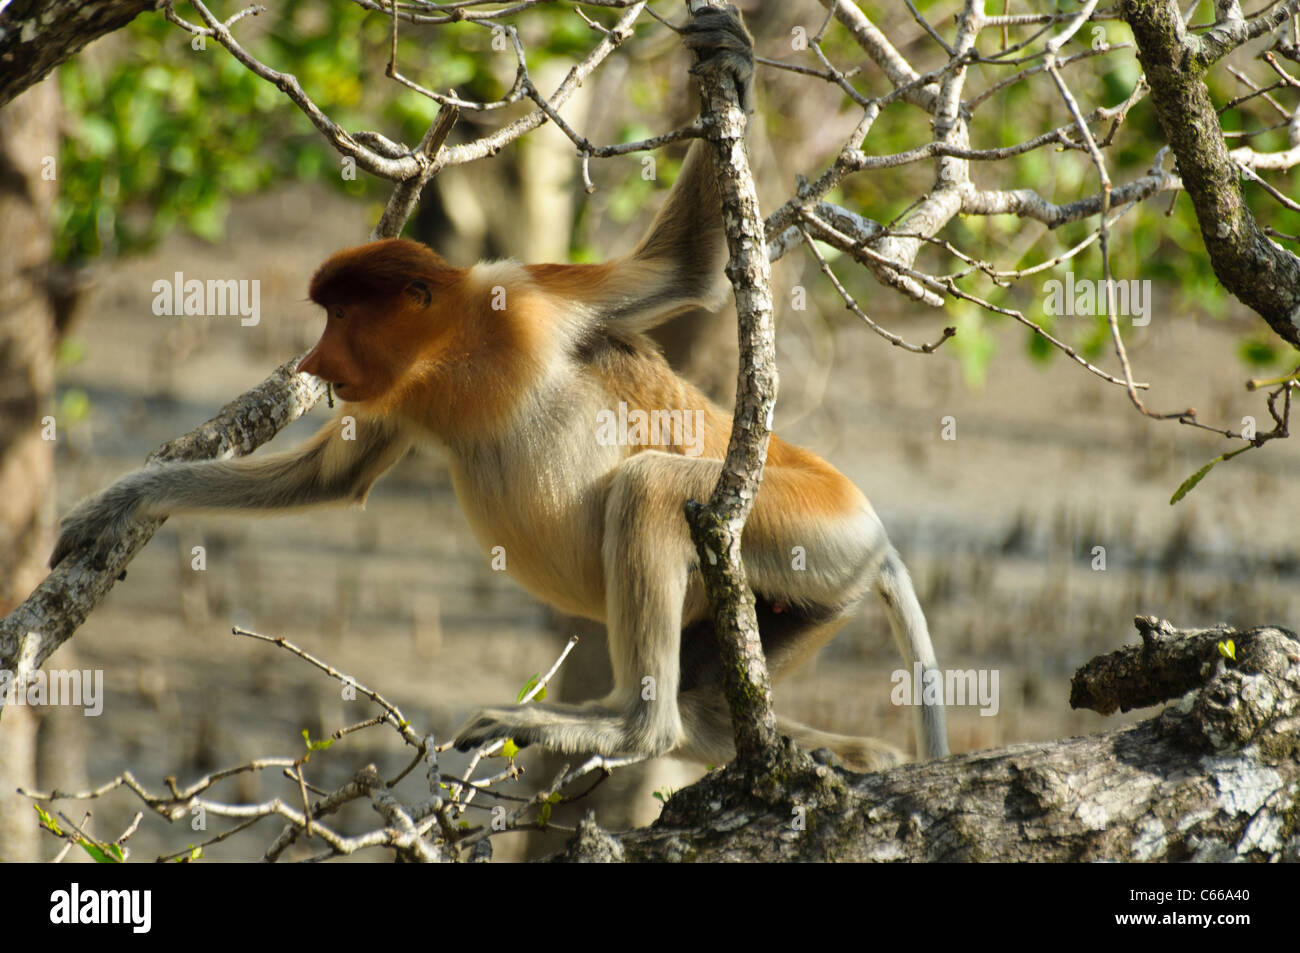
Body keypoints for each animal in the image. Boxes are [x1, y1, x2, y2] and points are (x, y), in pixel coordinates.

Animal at [49, 5, 948, 772]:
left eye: (341, 314)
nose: (312, 362)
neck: (456, 354)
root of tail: (879, 541)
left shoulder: (523, 298)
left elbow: (677, 274)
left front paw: (730, 55)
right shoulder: (401, 395)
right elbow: (332, 477)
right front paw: (122, 501)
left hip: (811, 521)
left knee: (652, 486)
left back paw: (626, 726)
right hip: (808, 590)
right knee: (713, 688)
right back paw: (850, 754)